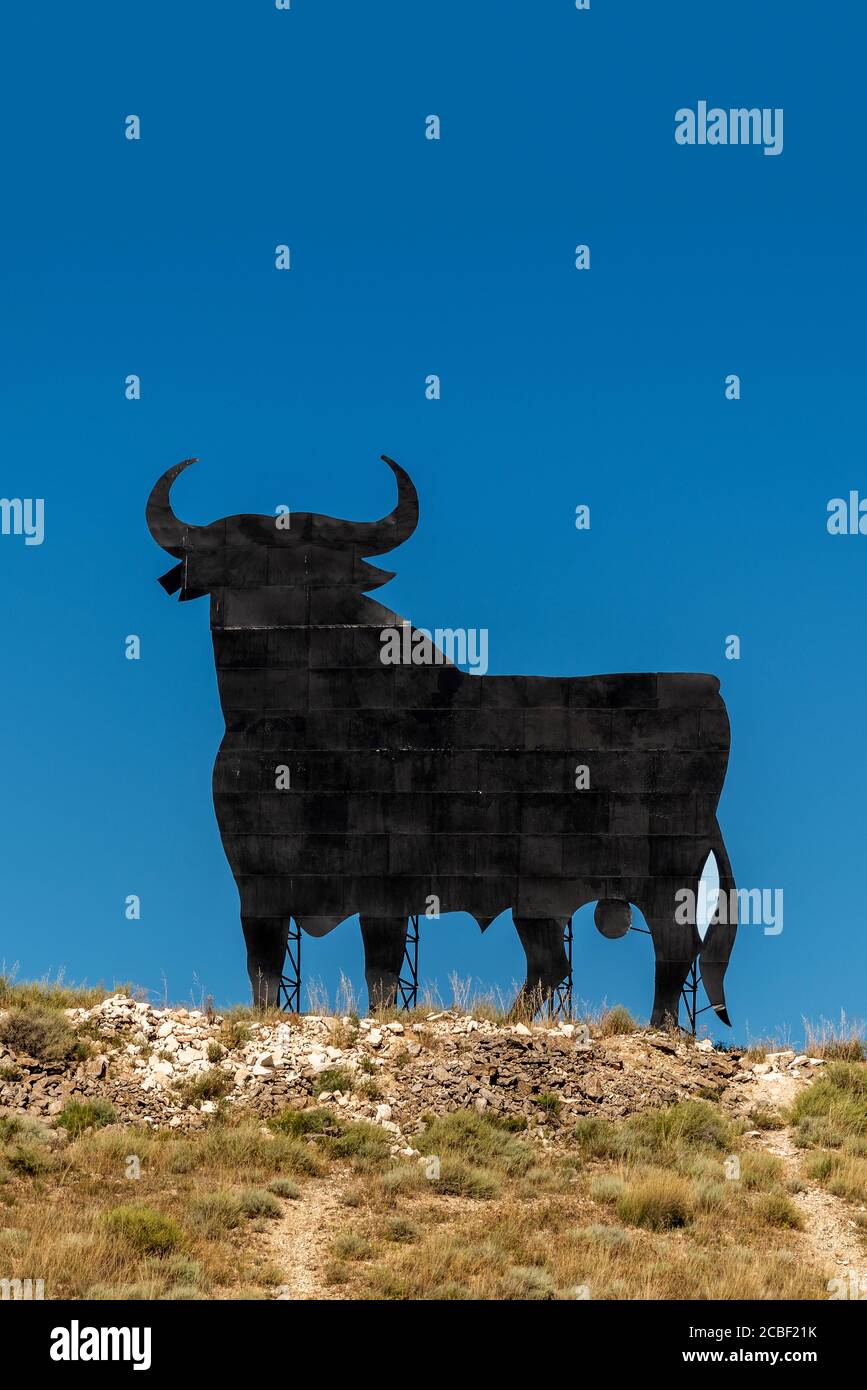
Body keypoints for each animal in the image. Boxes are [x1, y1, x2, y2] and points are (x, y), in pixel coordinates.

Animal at [146, 455, 737, 1027]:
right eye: (230, 561)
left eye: (310, 565)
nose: (262, 618)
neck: (293, 725)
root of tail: (710, 688)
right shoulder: (256, 882)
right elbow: (264, 965)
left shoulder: (385, 883)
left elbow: (381, 967)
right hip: (541, 894)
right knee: (553, 962)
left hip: (665, 875)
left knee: (672, 949)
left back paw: (659, 1028)